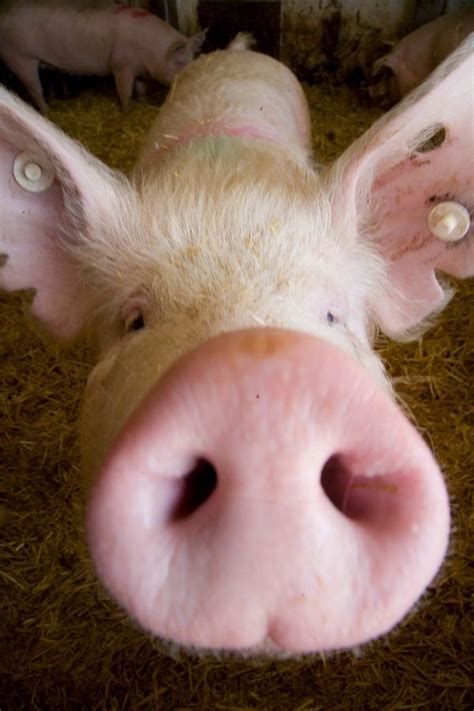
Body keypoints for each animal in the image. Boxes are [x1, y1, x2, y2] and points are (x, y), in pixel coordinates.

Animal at [0, 2, 205, 113]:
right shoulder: (121, 65)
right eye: (179, 62)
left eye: (193, 59)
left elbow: (140, 89)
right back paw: (47, 112)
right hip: (19, 57)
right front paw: (126, 112)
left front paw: (143, 103)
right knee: (35, 90)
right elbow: (124, 91)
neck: (149, 51)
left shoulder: (137, 68)